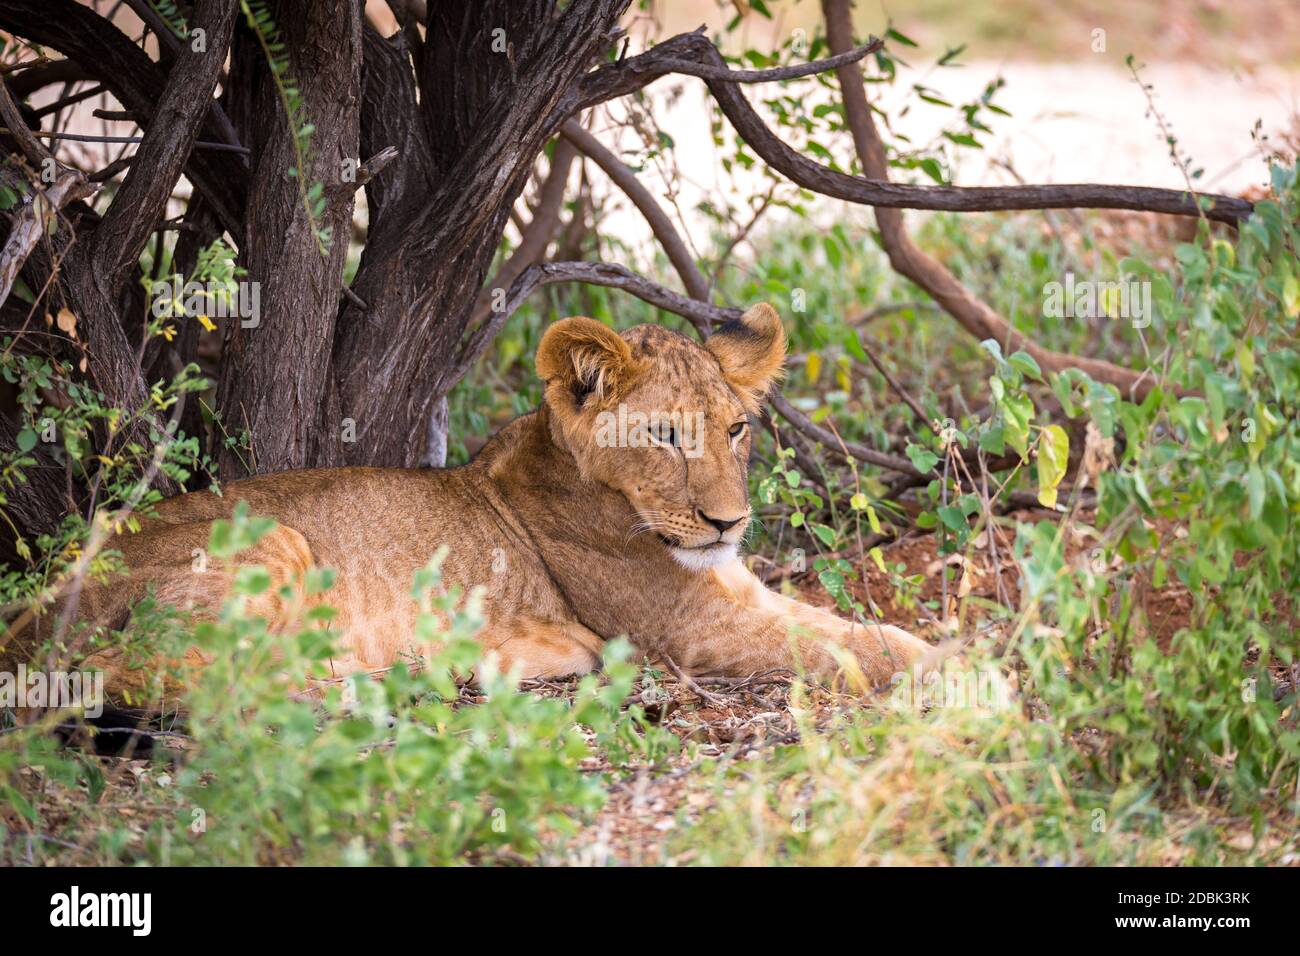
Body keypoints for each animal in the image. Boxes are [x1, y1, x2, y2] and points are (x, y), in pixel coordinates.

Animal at [10, 304, 933, 702]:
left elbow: (837, 623)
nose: (728, 522)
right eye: (665, 436)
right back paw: (364, 681)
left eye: (737, 429)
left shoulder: (733, 595)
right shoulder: (693, 632)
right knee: (155, 677)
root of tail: (27, 620)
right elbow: (846, 646)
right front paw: (952, 668)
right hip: (269, 540)